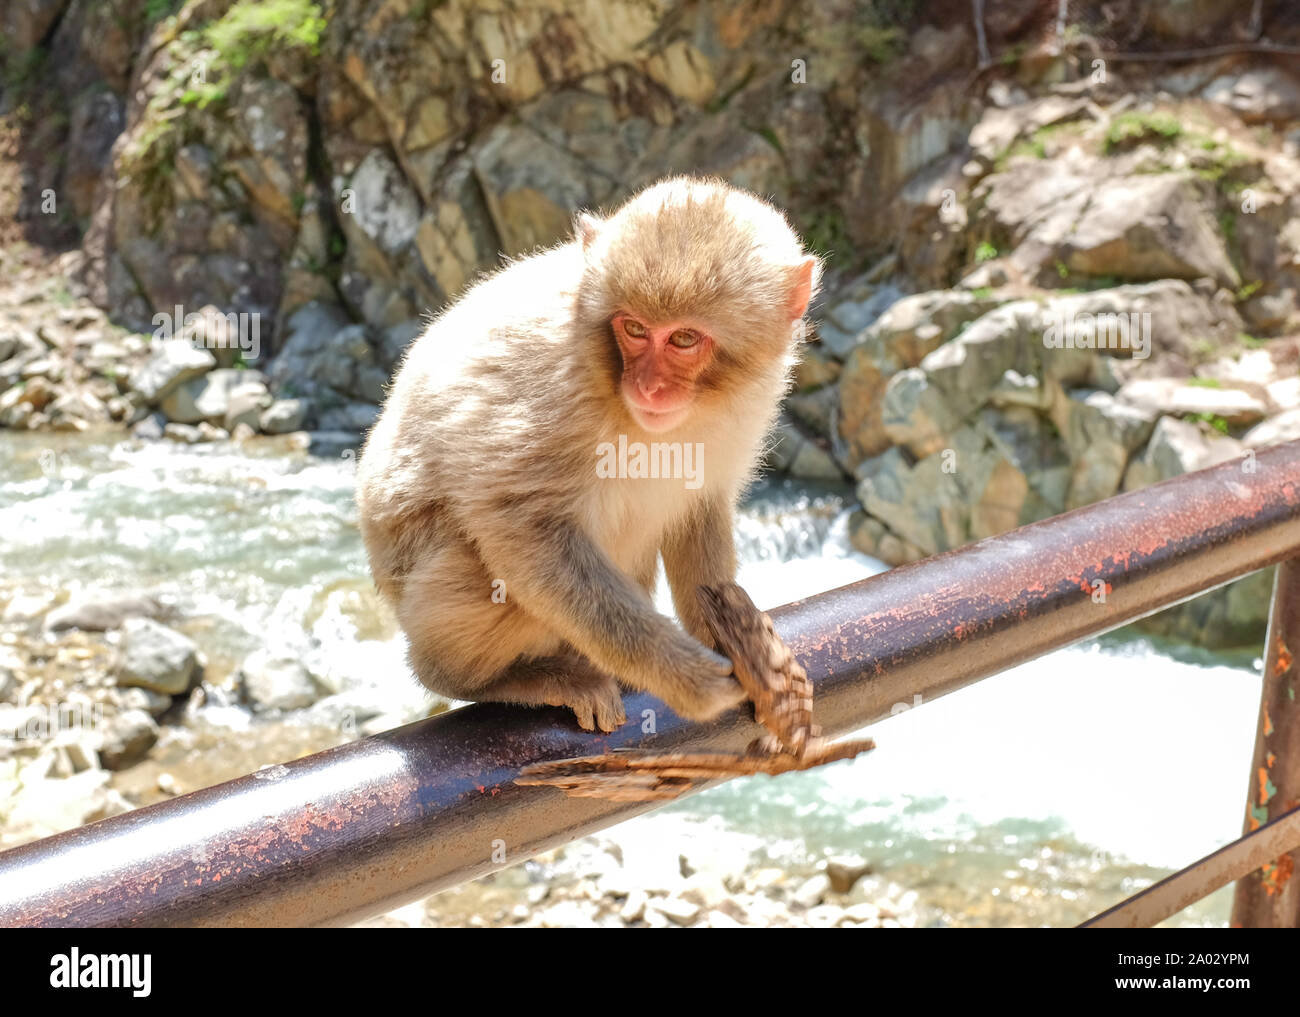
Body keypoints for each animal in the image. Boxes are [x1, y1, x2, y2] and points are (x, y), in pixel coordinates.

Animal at [355, 176, 821, 733]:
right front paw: (682, 676)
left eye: (684, 338)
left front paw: (743, 646)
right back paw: (487, 678)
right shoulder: (556, 391)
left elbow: (699, 506)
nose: (646, 386)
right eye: (634, 329)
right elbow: (520, 526)